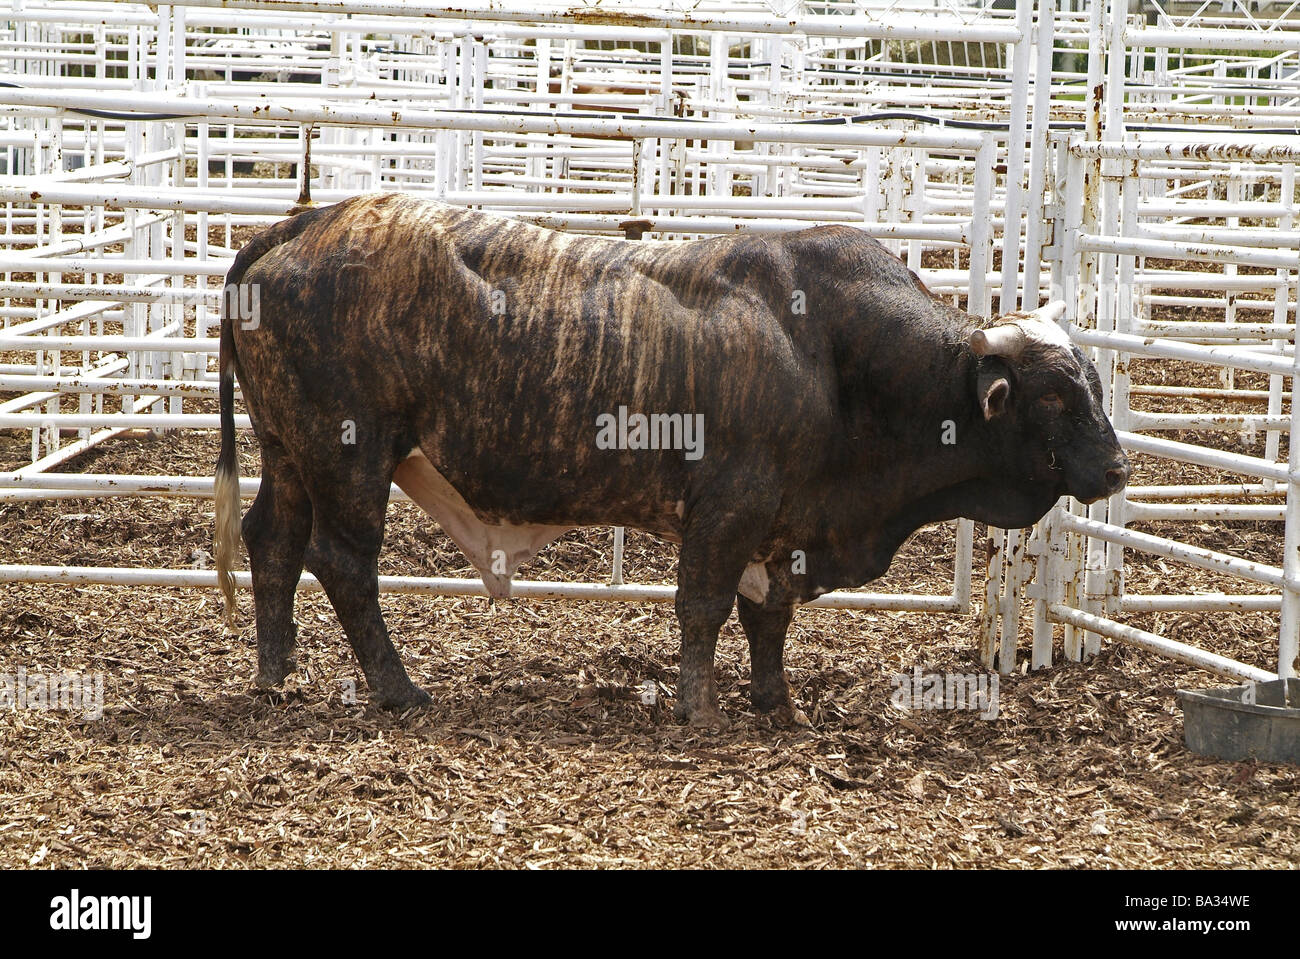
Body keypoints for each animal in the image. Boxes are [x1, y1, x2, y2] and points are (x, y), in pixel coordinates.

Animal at [214, 192, 1128, 728]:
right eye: (1058, 398)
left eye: (1094, 384)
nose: (1119, 470)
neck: (837, 354)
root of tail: (305, 221)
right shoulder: (729, 508)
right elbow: (704, 608)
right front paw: (701, 707)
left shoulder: (782, 526)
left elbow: (768, 618)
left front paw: (777, 704)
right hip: (351, 457)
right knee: (342, 563)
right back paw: (396, 688)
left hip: (289, 454)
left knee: (273, 544)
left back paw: (276, 673)